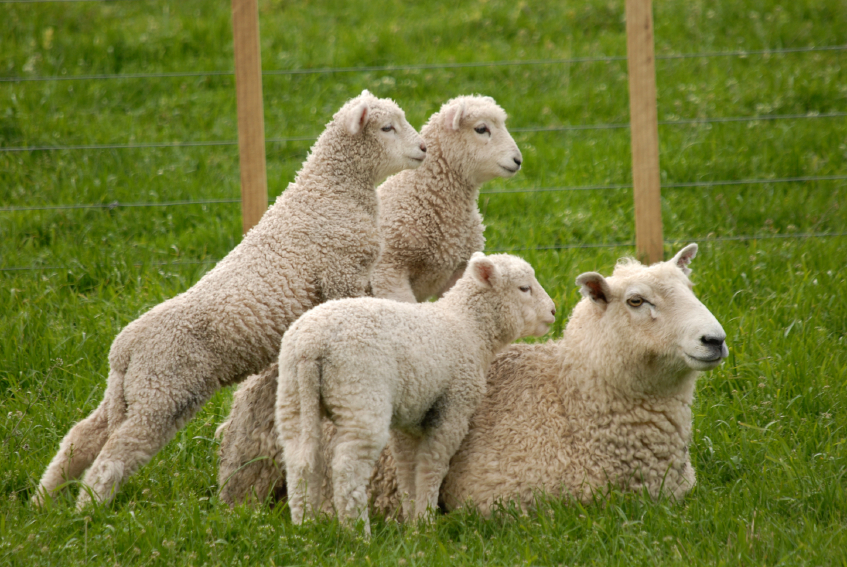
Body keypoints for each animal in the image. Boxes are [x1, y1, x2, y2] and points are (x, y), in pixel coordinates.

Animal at [32, 90, 427, 510]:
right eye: (387, 128)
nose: (423, 148)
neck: (329, 193)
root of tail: (123, 350)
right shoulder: (341, 274)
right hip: (162, 393)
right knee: (114, 453)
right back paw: (89, 509)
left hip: (130, 393)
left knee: (83, 436)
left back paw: (45, 501)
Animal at [276, 252, 556, 535]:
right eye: (524, 288)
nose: (554, 311)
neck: (468, 327)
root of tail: (311, 344)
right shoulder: (454, 405)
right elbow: (432, 465)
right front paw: (426, 521)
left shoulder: (410, 415)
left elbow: (408, 466)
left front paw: (413, 523)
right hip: (360, 393)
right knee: (347, 467)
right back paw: (357, 532)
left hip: (293, 393)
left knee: (299, 459)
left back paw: (304, 526)